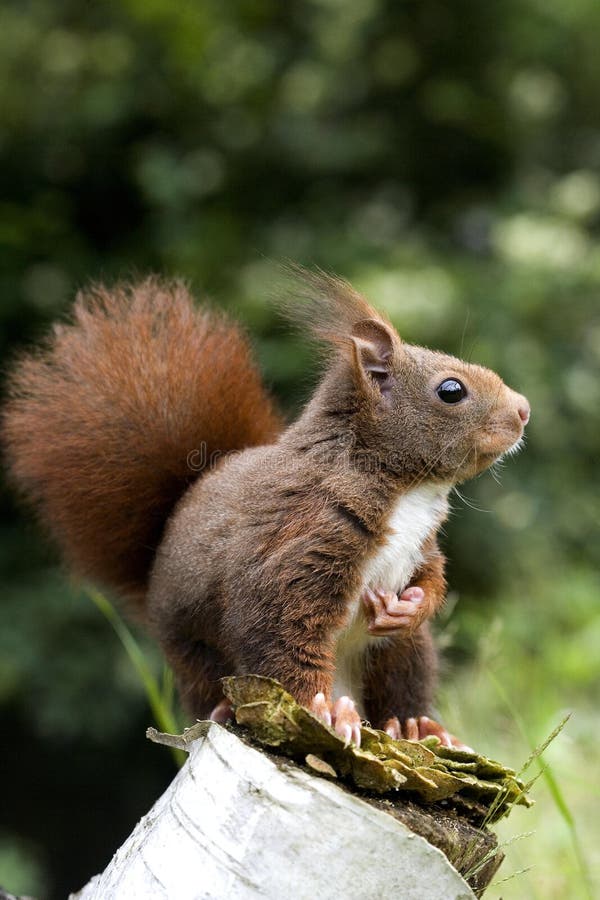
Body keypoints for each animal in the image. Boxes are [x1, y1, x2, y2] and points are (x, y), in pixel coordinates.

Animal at [2, 271, 530, 749]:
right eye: (451, 390)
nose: (524, 409)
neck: (410, 492)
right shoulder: (300, 541)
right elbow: (280, 631)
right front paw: (323, 712)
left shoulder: (420, 545)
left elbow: (432, 578)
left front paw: (410, 605)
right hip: (195, 653)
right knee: (212, 682)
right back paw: (245, 708)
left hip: (405, 655)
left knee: (403, 683)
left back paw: (416, 727)